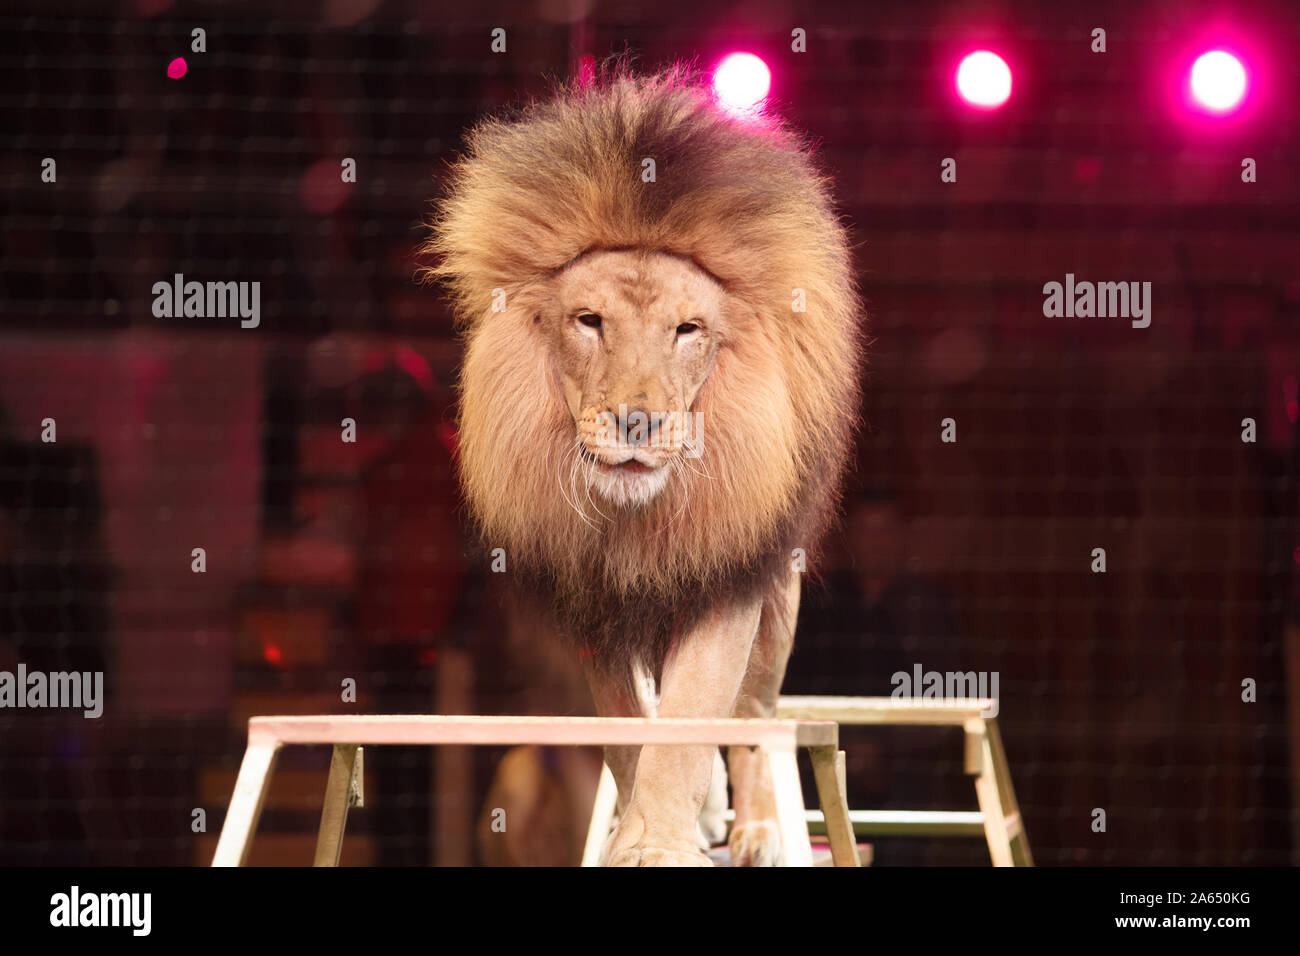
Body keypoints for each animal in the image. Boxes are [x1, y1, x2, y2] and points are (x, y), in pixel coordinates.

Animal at [425, 65, 862, 866]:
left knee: (757, 716)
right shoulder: (592, 601)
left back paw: (756, 828)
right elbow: (631, 726)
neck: (637, 516)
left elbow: (694, 716)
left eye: (688, 330)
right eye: (589, 321)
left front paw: (658, 839)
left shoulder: (722, 576)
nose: (637, 421)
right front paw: (640, 827)